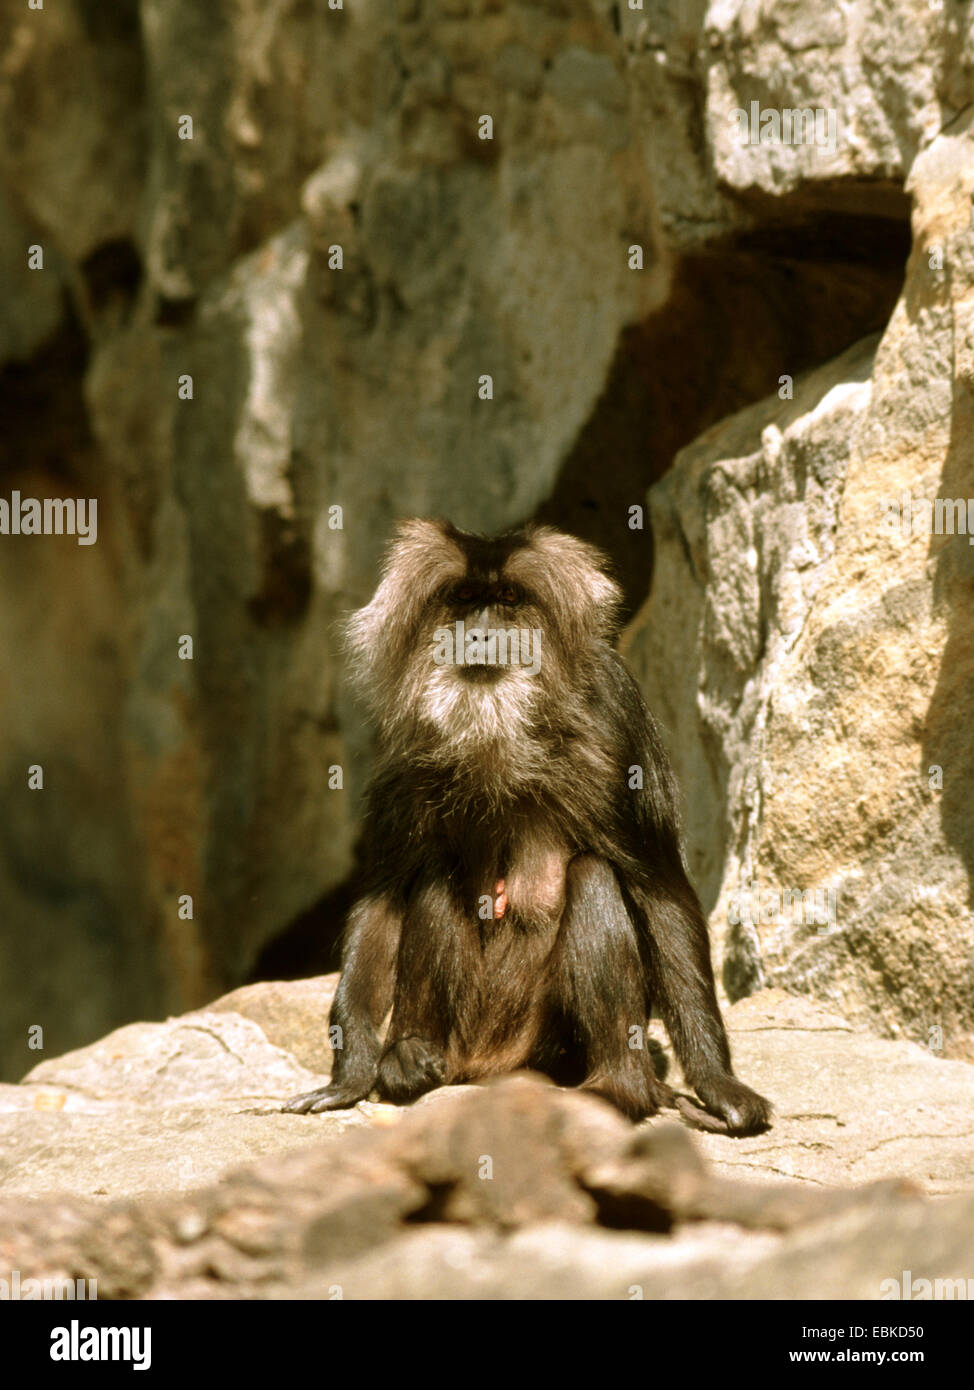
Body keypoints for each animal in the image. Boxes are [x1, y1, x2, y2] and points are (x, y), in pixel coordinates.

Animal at [284, 519, 772, 1135]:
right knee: (435, 875)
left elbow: (662, 896)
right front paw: (348, 1078)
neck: (500, 727)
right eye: (464, 598)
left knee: (592, 875)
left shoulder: (618, 723)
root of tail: (493, 1066)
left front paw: (718, 1084)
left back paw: (617, 1088)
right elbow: (383, 900)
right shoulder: (401, 755)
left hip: (539, 1044)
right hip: (469, 1037)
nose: (479, 636)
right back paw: (409, 1060)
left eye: (510, 599)